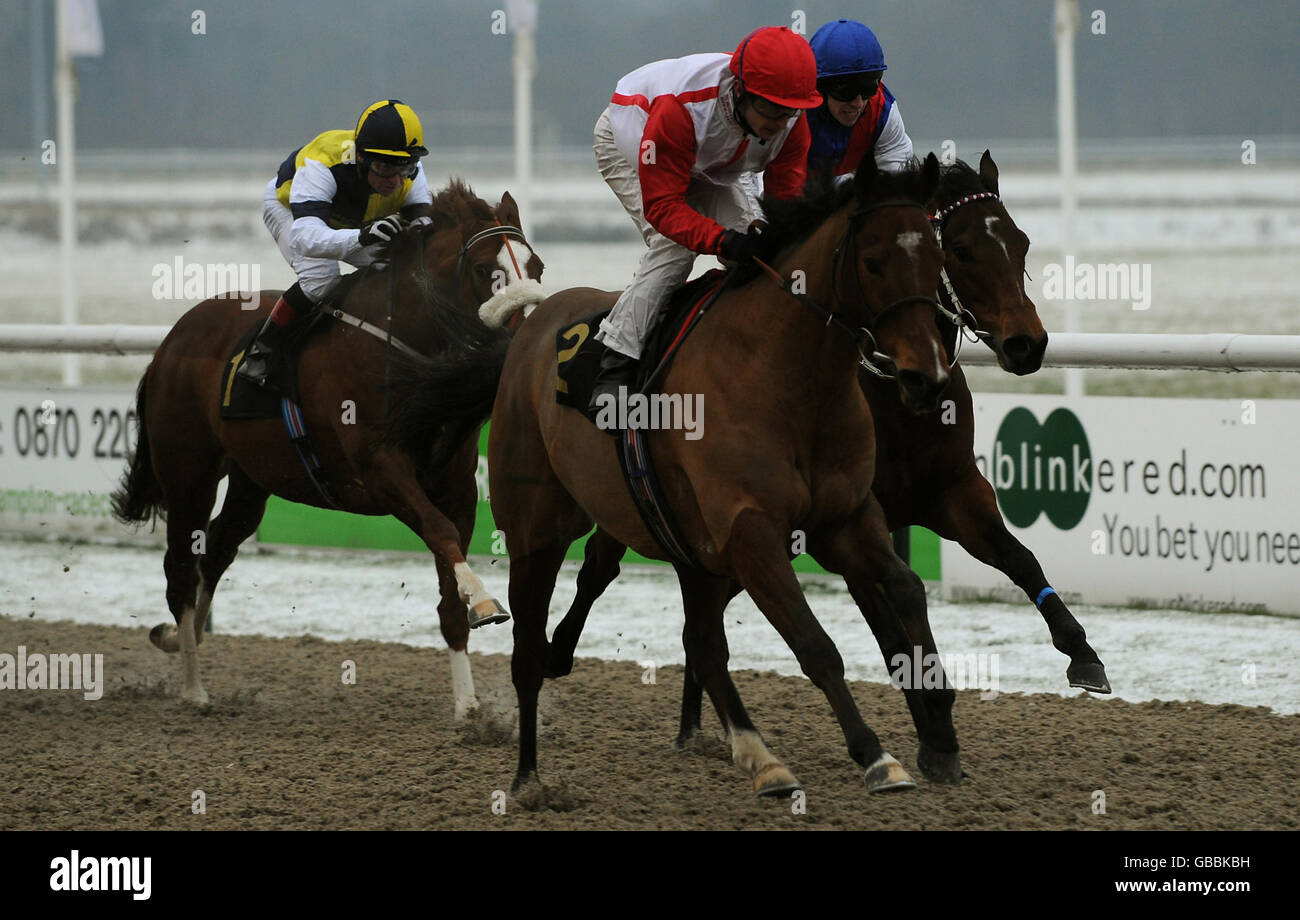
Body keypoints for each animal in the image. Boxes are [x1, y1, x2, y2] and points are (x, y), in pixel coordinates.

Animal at [111, 181, 544, 718]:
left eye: (537, 266)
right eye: (487, 270)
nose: (530, 337)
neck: (403, 347)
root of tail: (170, 341)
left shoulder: (456, 486)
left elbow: (450, 593)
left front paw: (469, 707)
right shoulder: (380, 472)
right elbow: (440, 533)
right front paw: (486, 604)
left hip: (252, 478)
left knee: (217, 549)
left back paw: (180, 640)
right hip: (188, 472)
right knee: (181, 567)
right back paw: (193, 688)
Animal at [491, 154, 965, 797]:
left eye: (937, 263)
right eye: (872, 261)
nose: (926, 379)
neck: (787, 375)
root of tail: (534, 322)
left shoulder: (844, 516)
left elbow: (906, 587)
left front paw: (938, 727)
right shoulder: (749, 530)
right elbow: (816, 646)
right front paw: (875, 754)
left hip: (687, 544)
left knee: (701, 642)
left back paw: (758, 756)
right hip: (535, 531)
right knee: (527, 650)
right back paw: (528, 780)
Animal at [545, 151, 1110, 711]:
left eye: (1021, 242)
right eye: (962, 251)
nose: (1027, 344)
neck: (894, 396)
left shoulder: (949, 489)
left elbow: (1020, 558)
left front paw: (1082, 653)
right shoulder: (838, 524)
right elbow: (888, 626)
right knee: (601, 564)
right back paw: (559, 650)